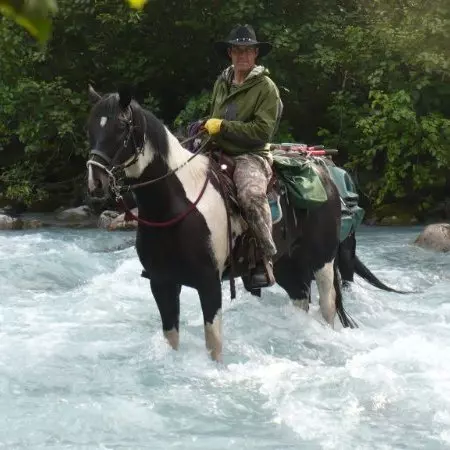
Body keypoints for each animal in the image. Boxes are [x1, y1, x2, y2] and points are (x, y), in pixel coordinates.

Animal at [86, 85, 356, 362]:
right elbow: (172, 338)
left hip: (323, 260)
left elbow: (214, 345)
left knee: (327, 305)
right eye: (91, 127)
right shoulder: (161, 283)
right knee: (300, 297)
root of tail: (326, 175)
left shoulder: (209, 284)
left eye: (121, 127)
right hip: (287, 263)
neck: (176, 205)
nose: (95, 180)